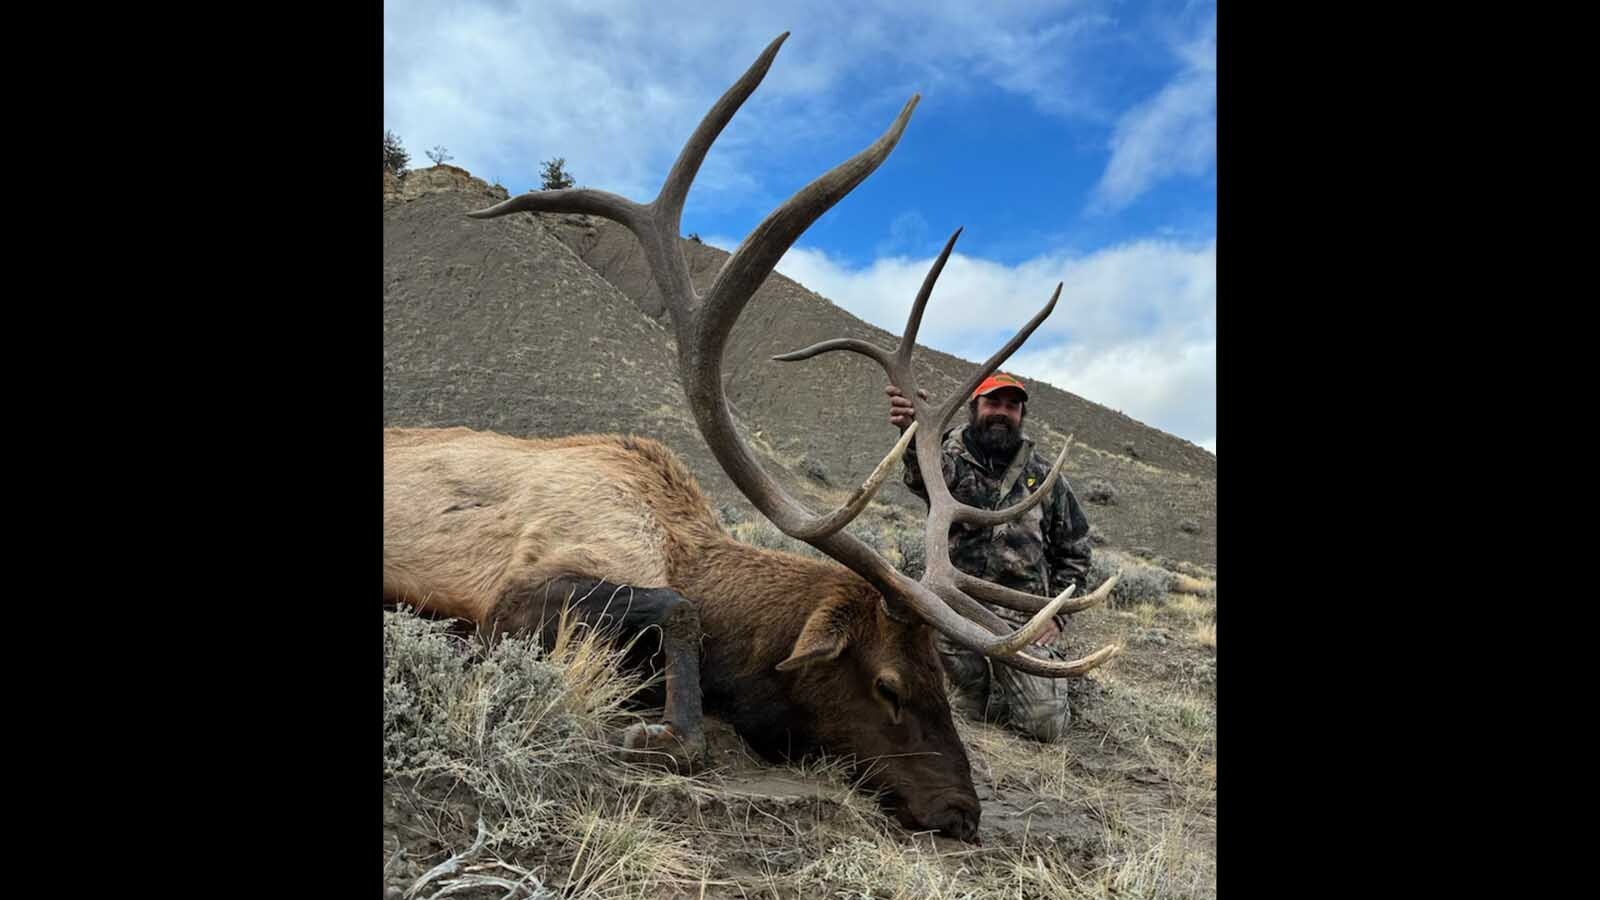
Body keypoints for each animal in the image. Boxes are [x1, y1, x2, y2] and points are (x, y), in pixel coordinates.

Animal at [383, 32, 1123, 843]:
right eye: (888, 684)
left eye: (941, 679)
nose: (962, 813)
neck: (676, 541)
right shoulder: (513, 593)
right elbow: (680, 616)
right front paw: (657, 732)